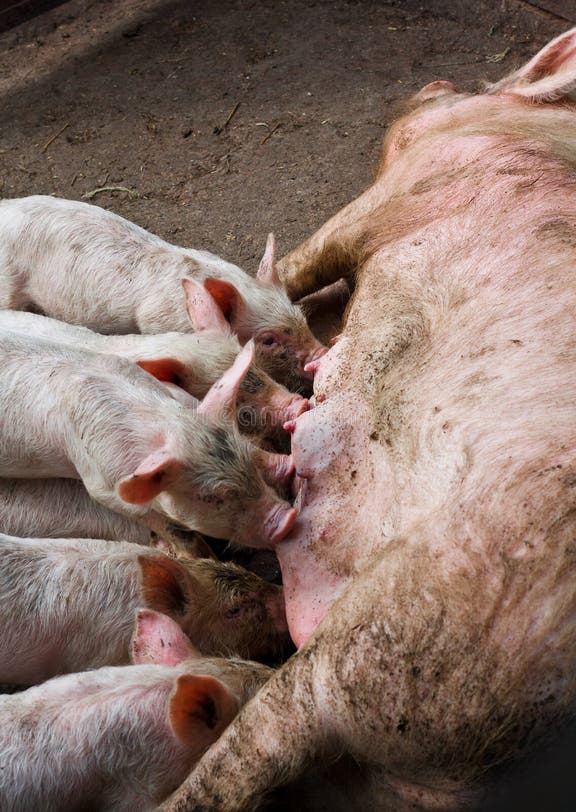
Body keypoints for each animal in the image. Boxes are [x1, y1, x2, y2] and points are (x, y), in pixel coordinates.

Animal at [162, 29, 576, 812]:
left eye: (463, 86)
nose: (435, 79)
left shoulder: (405, 186)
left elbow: (298, 260)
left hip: (399, 645)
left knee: (246, 755)